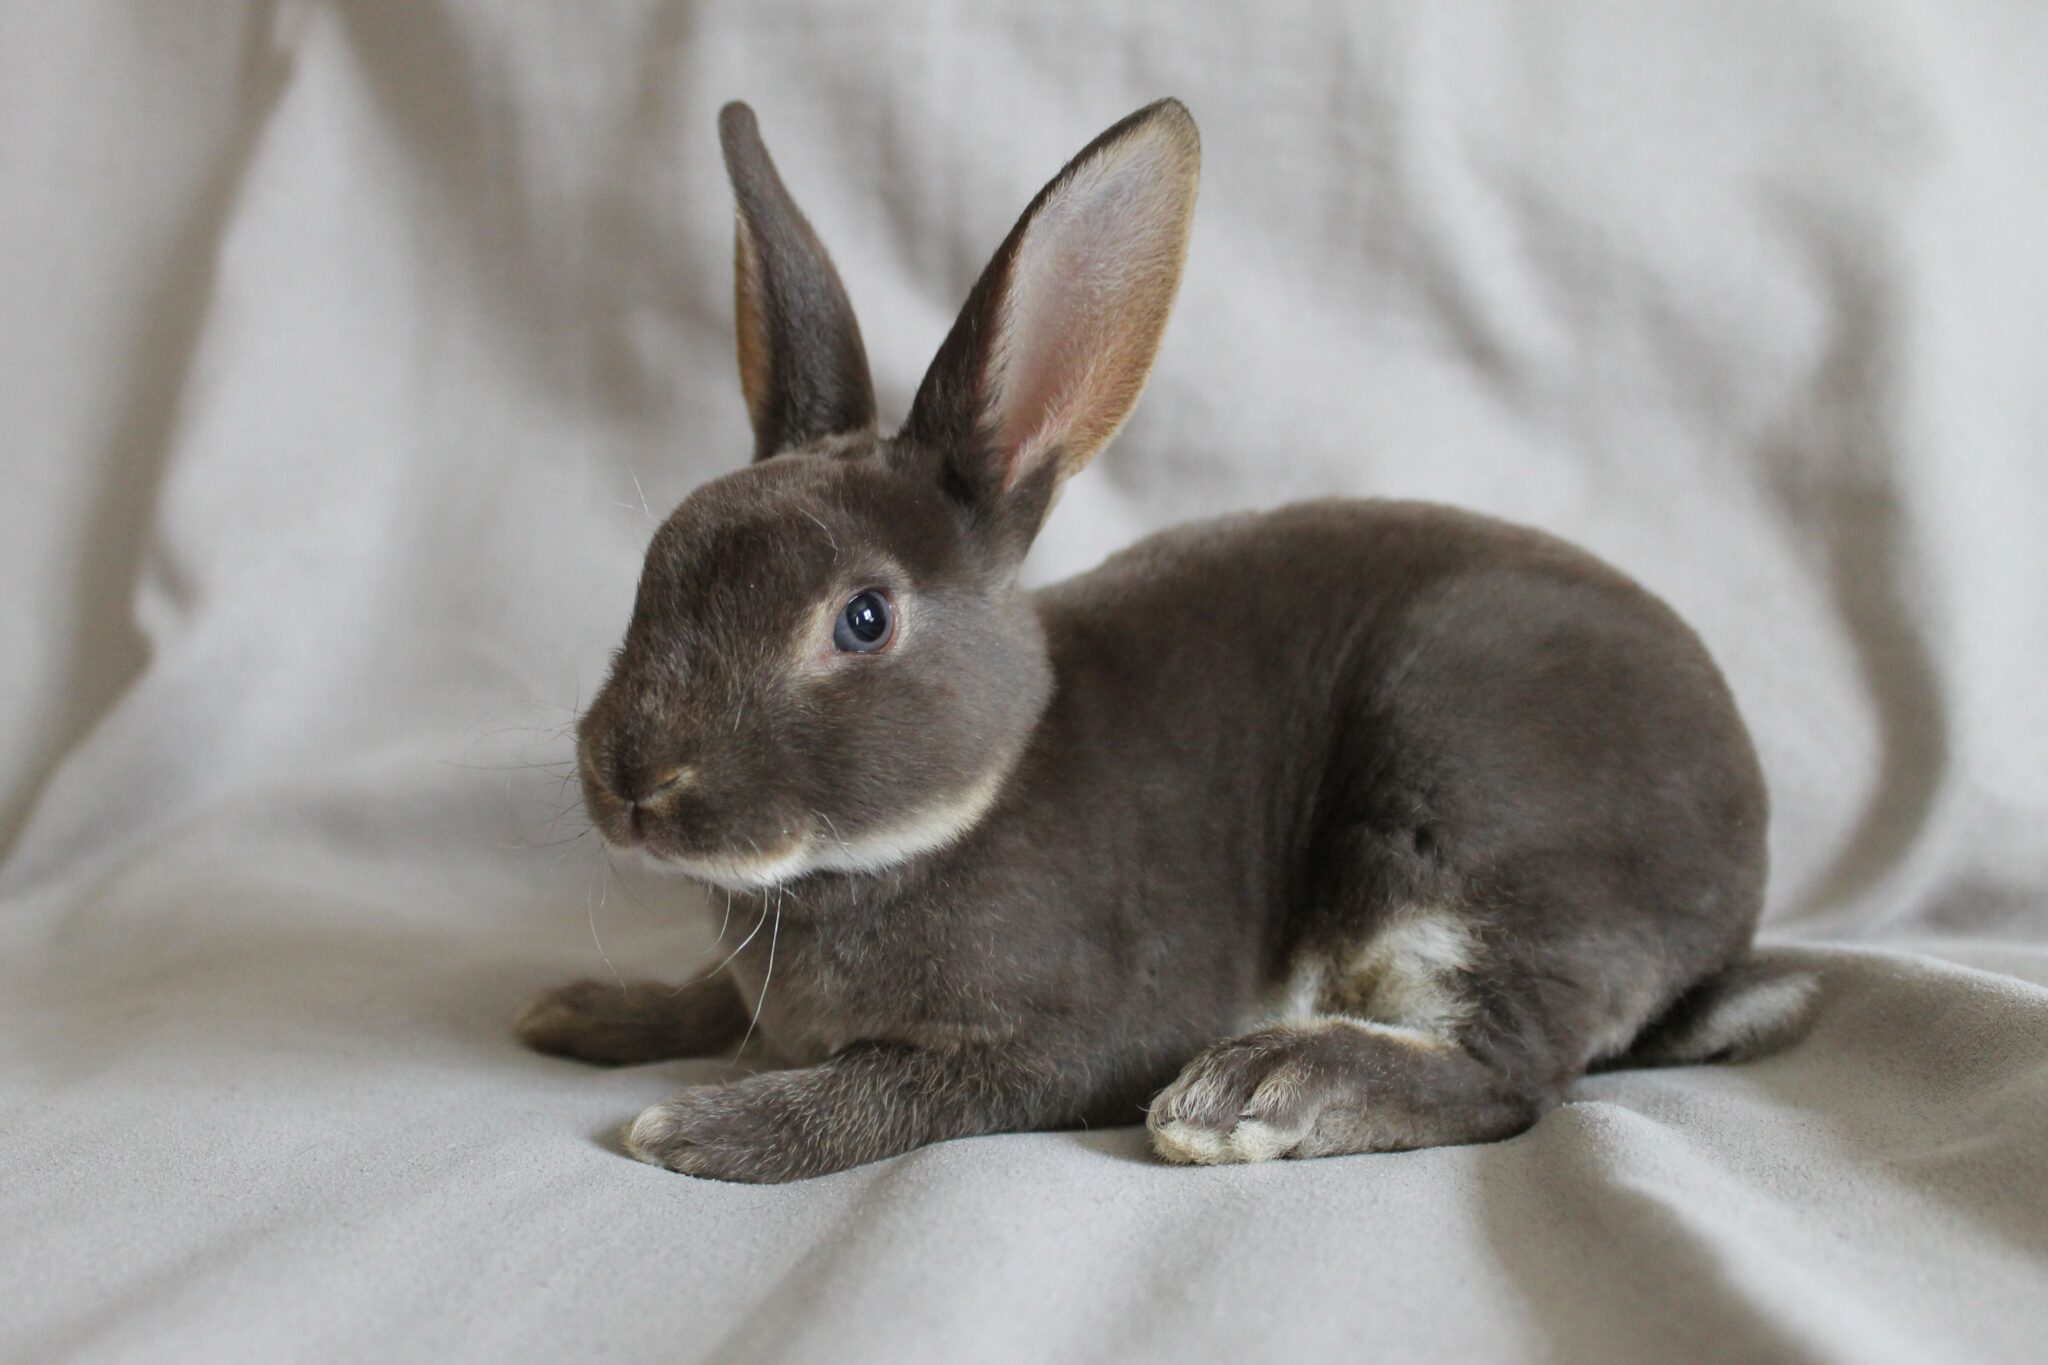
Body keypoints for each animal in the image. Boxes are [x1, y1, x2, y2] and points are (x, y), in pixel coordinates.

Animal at [515, 98, 1816, 1182]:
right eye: (658, 562)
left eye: (863, 619)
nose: (632, 780)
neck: (949, 815)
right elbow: (717, 1006)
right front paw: (586, 1012)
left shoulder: (1066, 1040)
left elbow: (894, 1092)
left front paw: (702, 1128)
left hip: (1468, 811)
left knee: (1511, 1076)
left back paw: (1254, 1091)